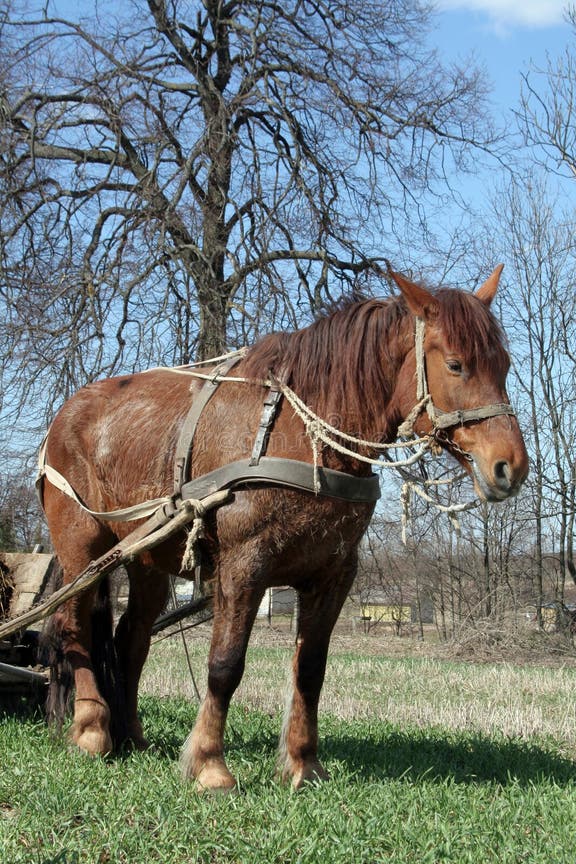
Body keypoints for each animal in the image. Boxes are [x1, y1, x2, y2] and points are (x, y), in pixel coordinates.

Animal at [38, 265, 528, 792]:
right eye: (456, 365)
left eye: (504, 364)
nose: (510, 466)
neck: (301, 434)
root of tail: (65, 414)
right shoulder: (244, 566)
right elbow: (224, 666)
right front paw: (209, 763)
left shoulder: (332, 575)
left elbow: (309, 671)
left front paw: (302, 763)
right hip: (82, 550)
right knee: (74, 630)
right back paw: (92, 729)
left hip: (147, 561)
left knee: (132, 640)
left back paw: (132, 734)